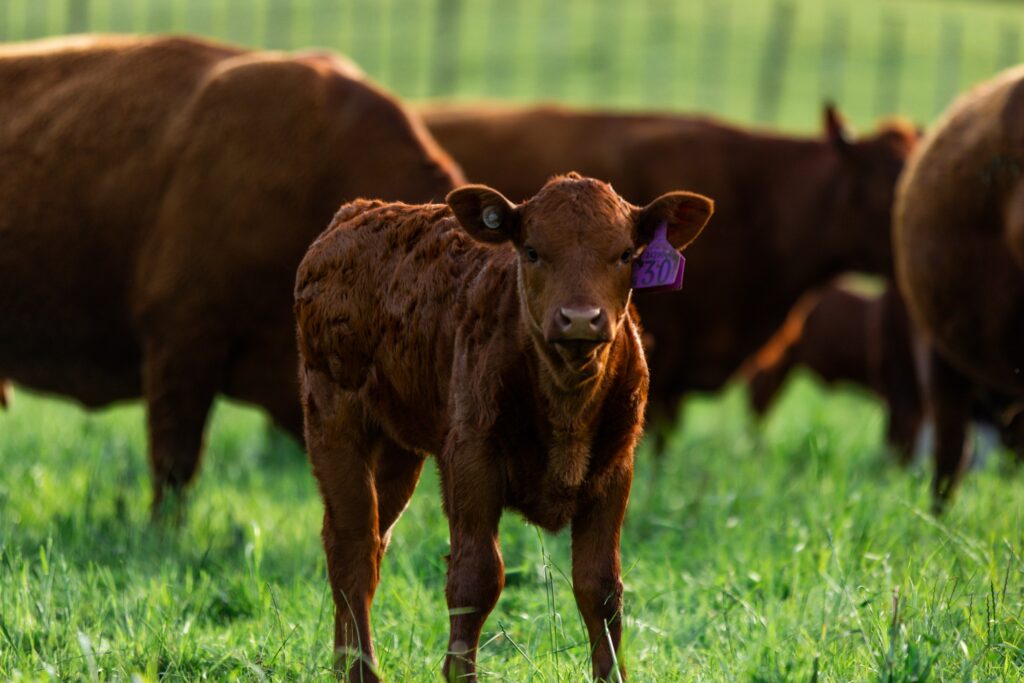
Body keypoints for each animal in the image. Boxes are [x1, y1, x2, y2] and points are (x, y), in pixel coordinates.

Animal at [294, 174, 714, 681]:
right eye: (531, 251)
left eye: (626, 254)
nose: (580, 319)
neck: (566, 405)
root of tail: (357, 213)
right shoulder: (472, 457)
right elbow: (476, 579)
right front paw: (460, 673)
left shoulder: (616, 468)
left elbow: (600, 586)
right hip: (333, 419)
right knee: (352, 549)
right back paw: (361, 670)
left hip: (398, 450)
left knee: (370, 541)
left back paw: (344, 664)